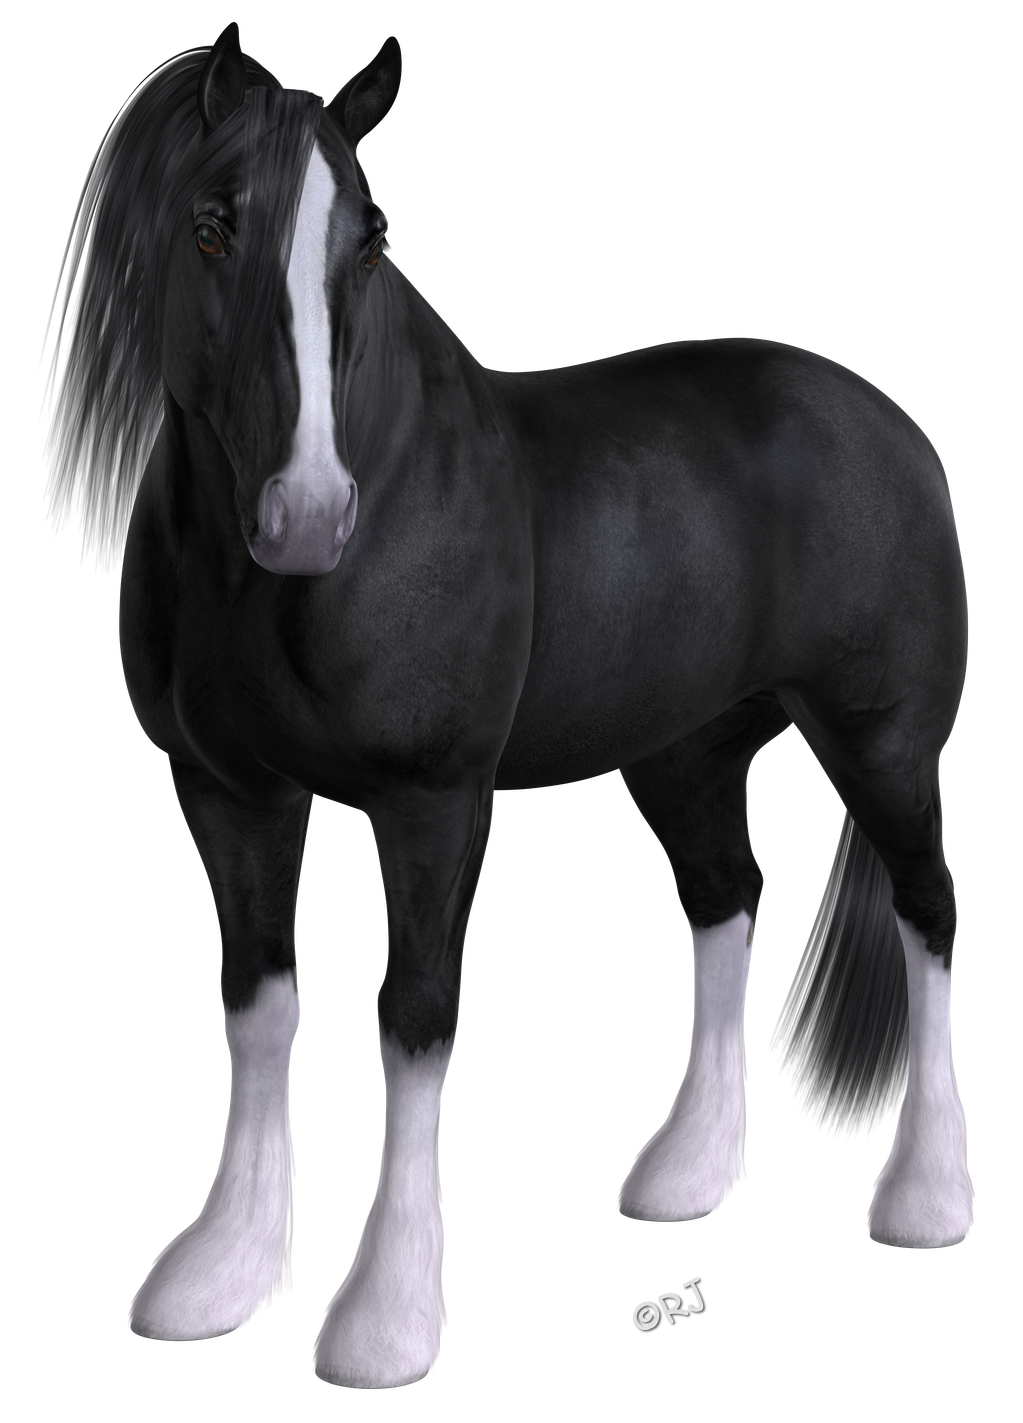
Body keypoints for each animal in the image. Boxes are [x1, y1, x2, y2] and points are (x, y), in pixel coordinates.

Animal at [35, 21, 975, 1390]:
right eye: (210, 224)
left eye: (374, 233)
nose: (309, 518)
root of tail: (890, 421)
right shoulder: (225, 795)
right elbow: (257, 1006)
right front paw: (222, 1271)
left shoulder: (433, 802)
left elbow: (413, 1018)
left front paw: (382, 1318)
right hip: (685, 755)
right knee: (727, 902)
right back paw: (687, 1172)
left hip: (881, 741)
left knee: (927, 911)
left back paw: (926, 1197)